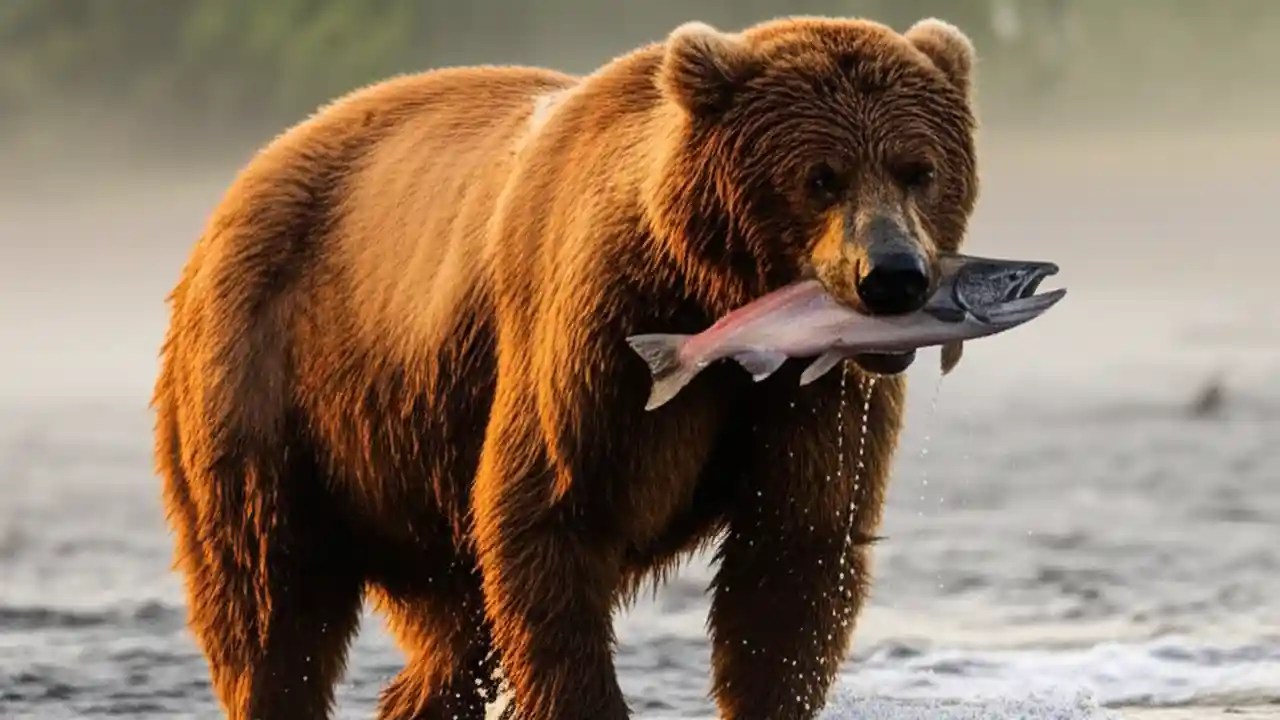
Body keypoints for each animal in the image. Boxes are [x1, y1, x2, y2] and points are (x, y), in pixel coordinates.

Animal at [152, 14, 979, 720]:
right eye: (820, 176)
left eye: (919, 169)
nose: (892, 275)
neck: (715, 293)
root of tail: (248, 176)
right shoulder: (596, 341)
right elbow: (552, 524)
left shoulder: (810, 397)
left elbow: (794, 556)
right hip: (272, 377)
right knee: (269, 597)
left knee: (453, 633)